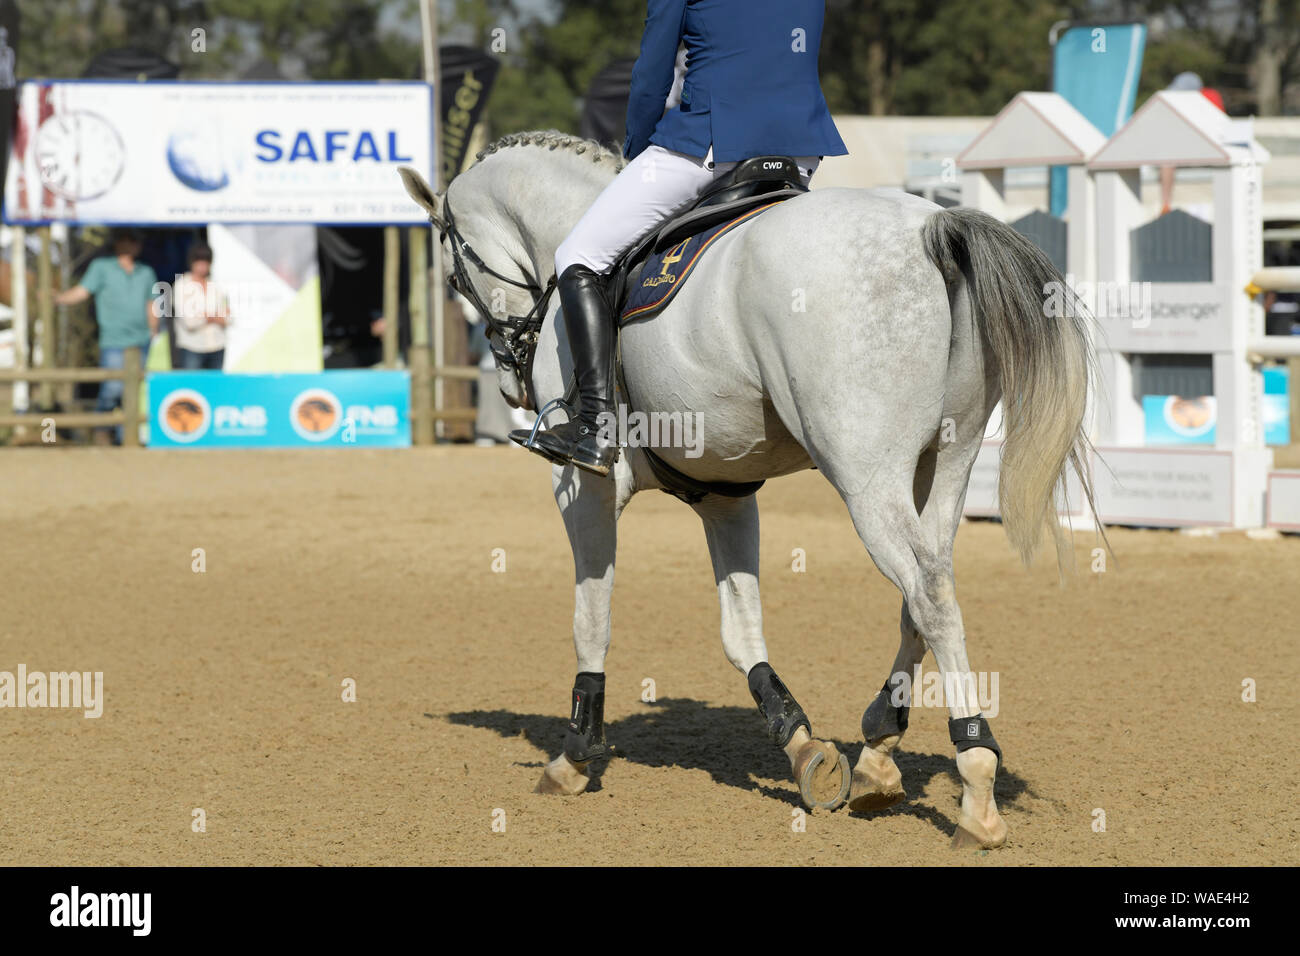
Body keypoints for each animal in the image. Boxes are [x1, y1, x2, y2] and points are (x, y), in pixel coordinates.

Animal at [399, 130, 1098, 849]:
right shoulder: (724, 494)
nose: (509, 382)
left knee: (928, 594)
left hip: (867, 477)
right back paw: (878, 752)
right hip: (946, 465)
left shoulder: (582, 484)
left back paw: (976, 787)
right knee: (926, 588)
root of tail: (929, 226)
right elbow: (741, 630)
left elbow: (591, 617)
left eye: (453, 279)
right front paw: (801, 746)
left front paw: (574, 755)